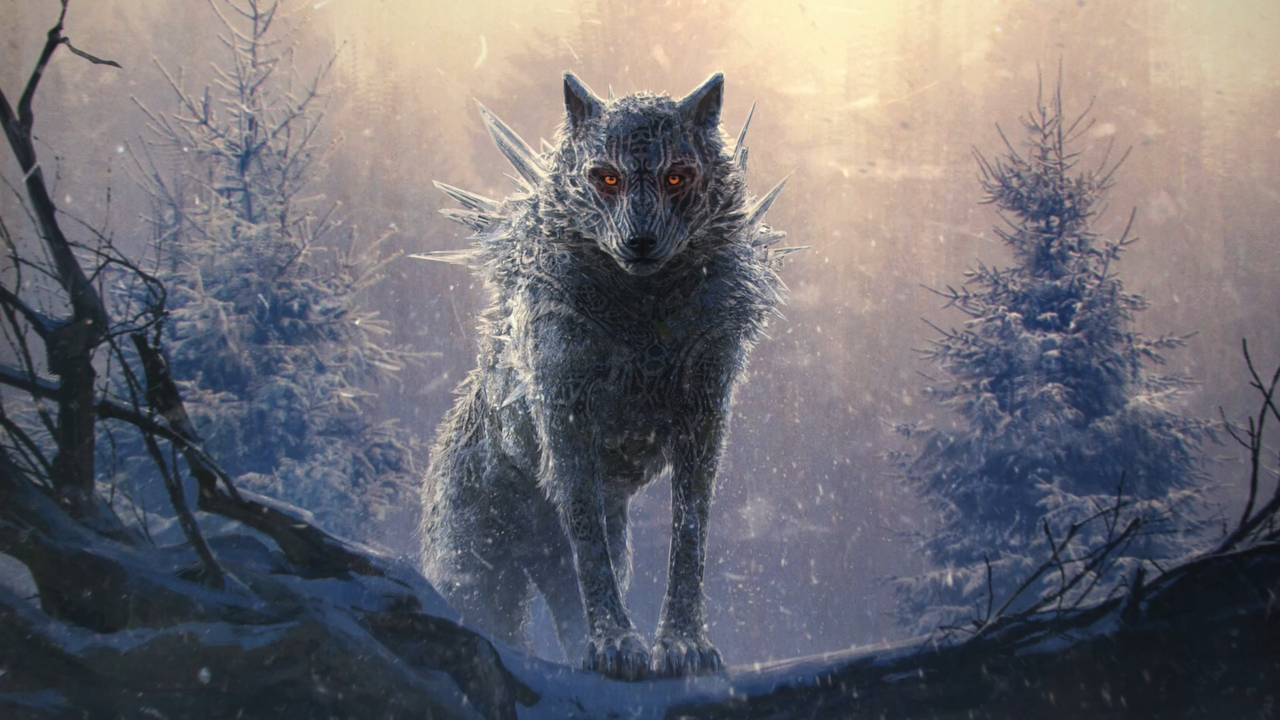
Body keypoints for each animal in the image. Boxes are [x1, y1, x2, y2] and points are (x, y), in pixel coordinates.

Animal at [418, 71, 794, 680]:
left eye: (675, 175)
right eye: (607, 177)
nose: (639, 241)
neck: (643, 311)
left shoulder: (704, 417)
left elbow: (690, 532)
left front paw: (682, 646)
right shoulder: (567, 422)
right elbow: (589, 544)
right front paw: (617, 644)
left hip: (555, 552)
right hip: (478, 566)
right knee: (490, 608)